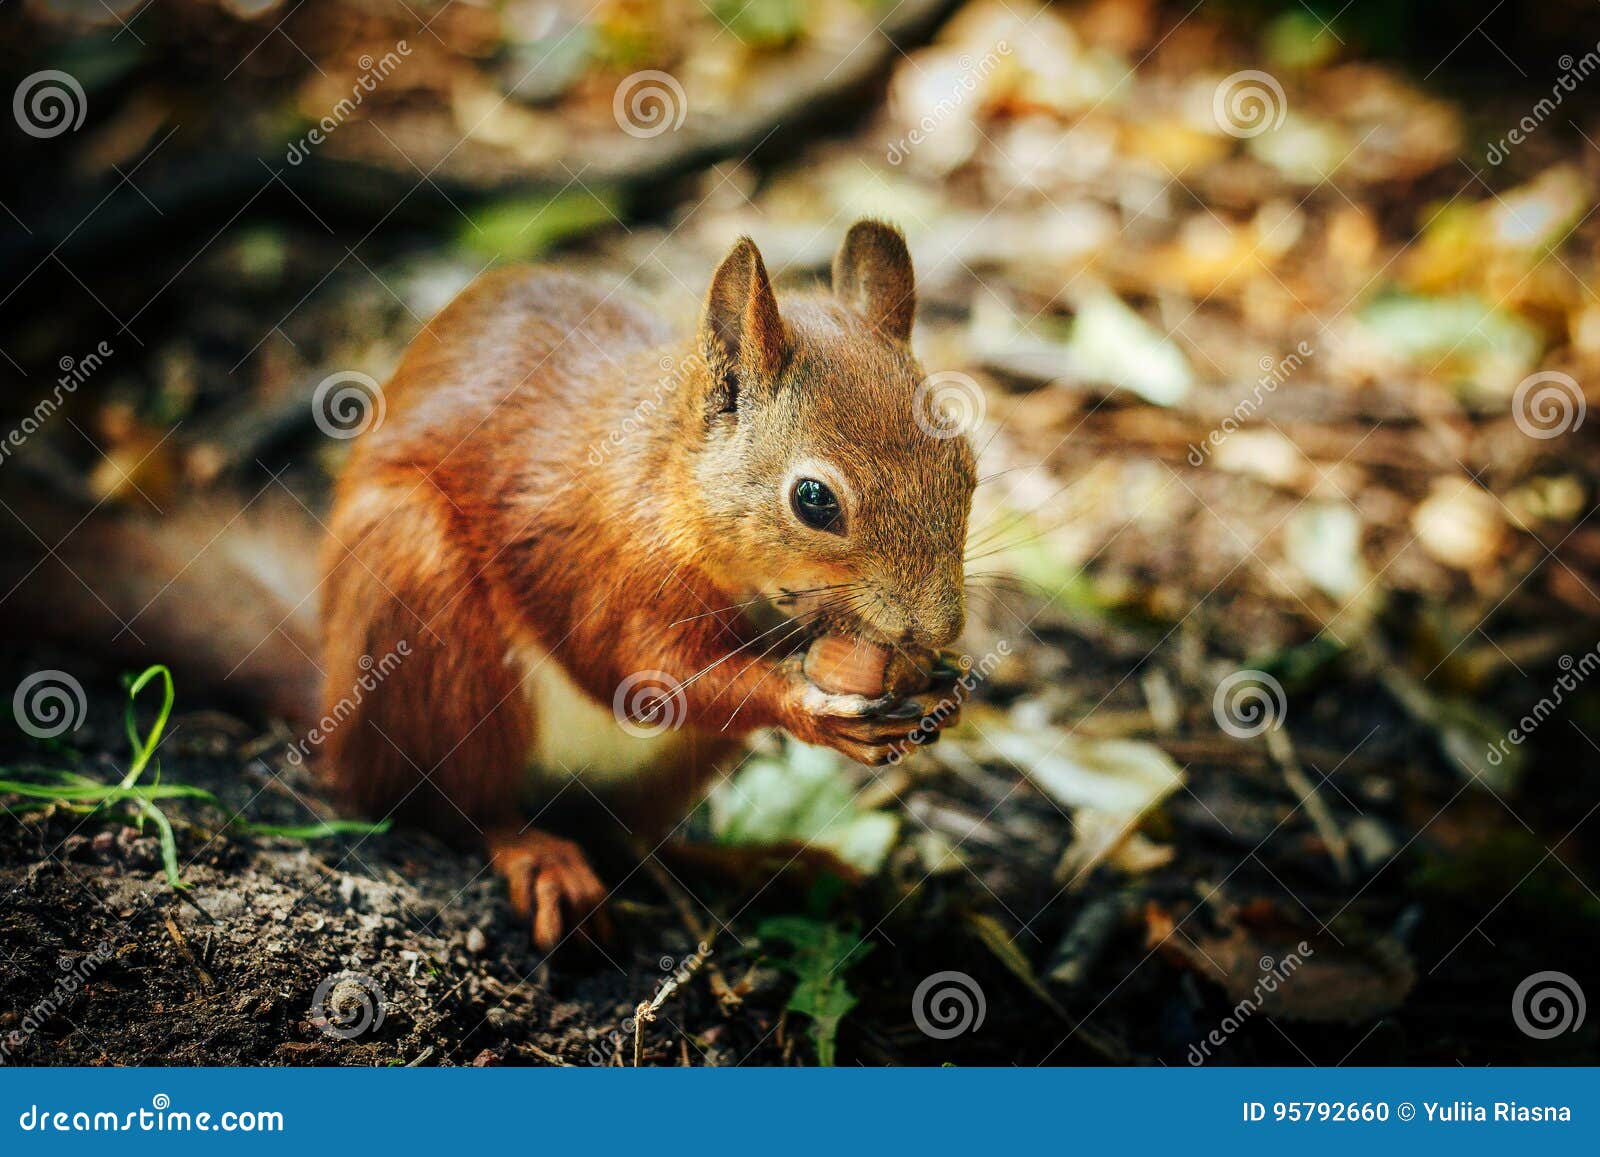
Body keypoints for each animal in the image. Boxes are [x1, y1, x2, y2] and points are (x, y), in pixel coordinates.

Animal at [0, 220, 976, 950]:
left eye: (966, 464)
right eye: (814, 500)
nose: (935, 629)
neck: (669, 483)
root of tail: (333, 707)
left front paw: (931, 683)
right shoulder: (601, 562)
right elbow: (645, 671)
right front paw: (814, 704)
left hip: (668, 765)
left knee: (633, 835)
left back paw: (760, 864)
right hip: (427, 619)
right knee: (444, 804)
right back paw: (531, 851)